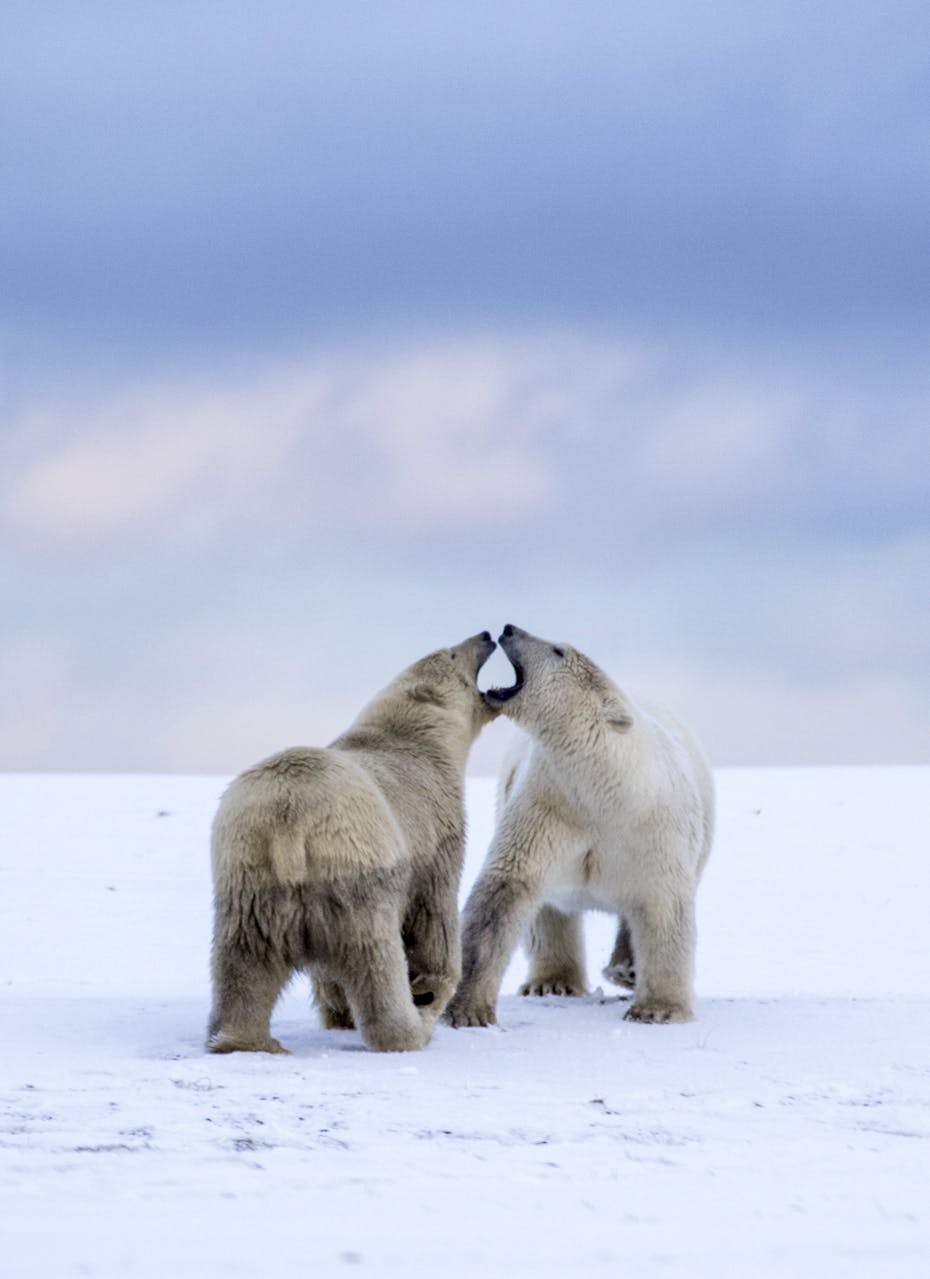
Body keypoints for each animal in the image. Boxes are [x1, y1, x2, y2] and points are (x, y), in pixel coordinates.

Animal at [207, 631, 498, 1054]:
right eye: (453, 654)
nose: (487, 634)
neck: (413, 736)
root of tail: (289, 817)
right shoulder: (435, 831)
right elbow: (434, 918)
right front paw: (429, 992)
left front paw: (338, 1015)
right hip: (356, 875)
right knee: (375, 956)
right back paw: (408, 1031)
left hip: (249, 877)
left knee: (245, 959)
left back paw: (242, 1040)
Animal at [445, 624, 714, 1028]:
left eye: (558, 651)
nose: (509, 628)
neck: (604, 789)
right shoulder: (550, 806)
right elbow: (507, 888)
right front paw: (466, 1009)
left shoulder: (654, 826)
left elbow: (662, 904)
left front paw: (658, 1009)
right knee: (551, 913)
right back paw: (552, 983)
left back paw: (625, 968)